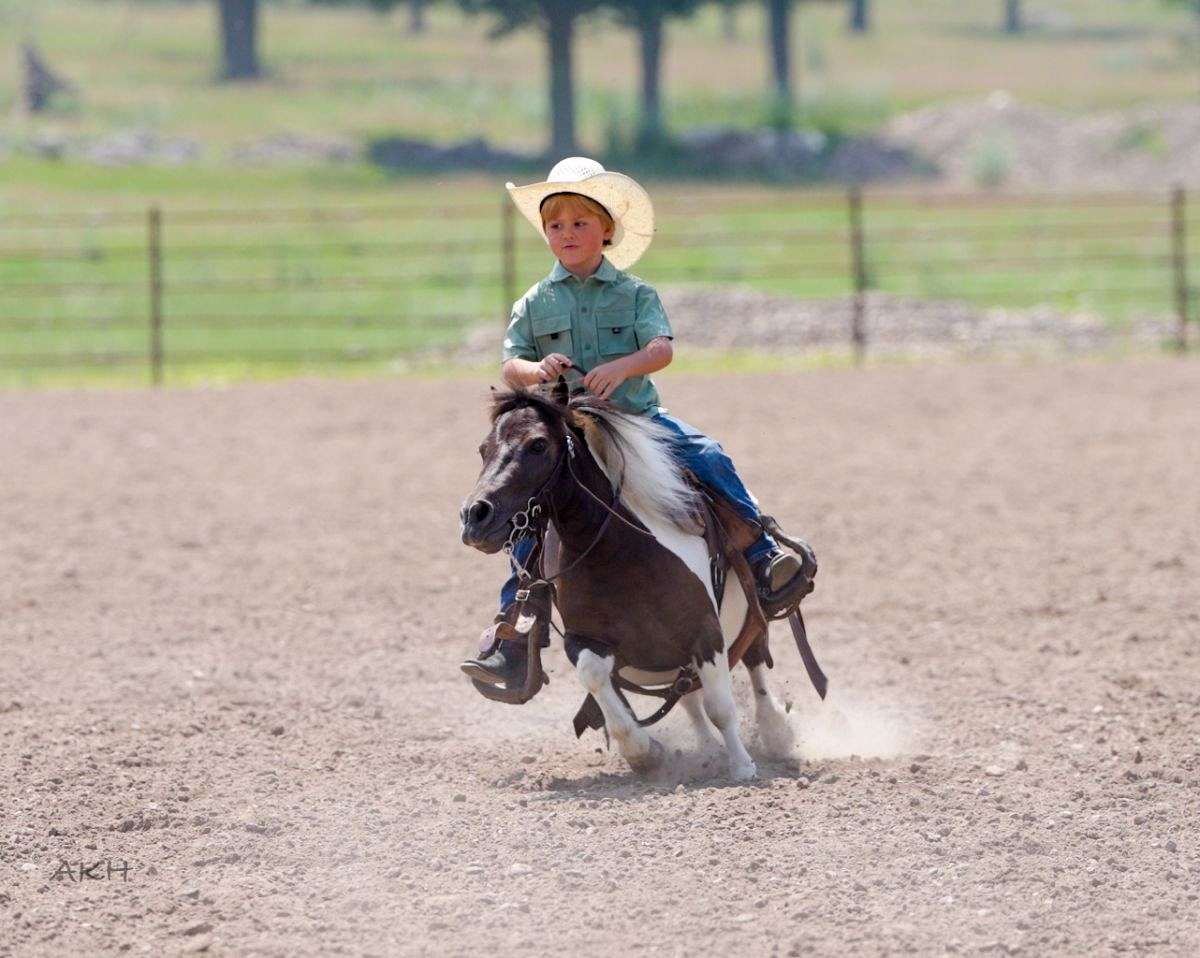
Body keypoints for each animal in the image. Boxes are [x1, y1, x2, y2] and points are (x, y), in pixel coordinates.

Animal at [459, 381, 811, 781]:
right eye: (483, 449)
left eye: (537, 445)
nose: (475, 516)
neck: (620, 552)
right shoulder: (583, 640)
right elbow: (596, 678)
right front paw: (645, 753)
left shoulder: (706, 632)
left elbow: (721, 707)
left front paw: (742, 766)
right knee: (689, 699)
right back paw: (707, 750)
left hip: (749, 621)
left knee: (754, 668)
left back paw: (775, 732)